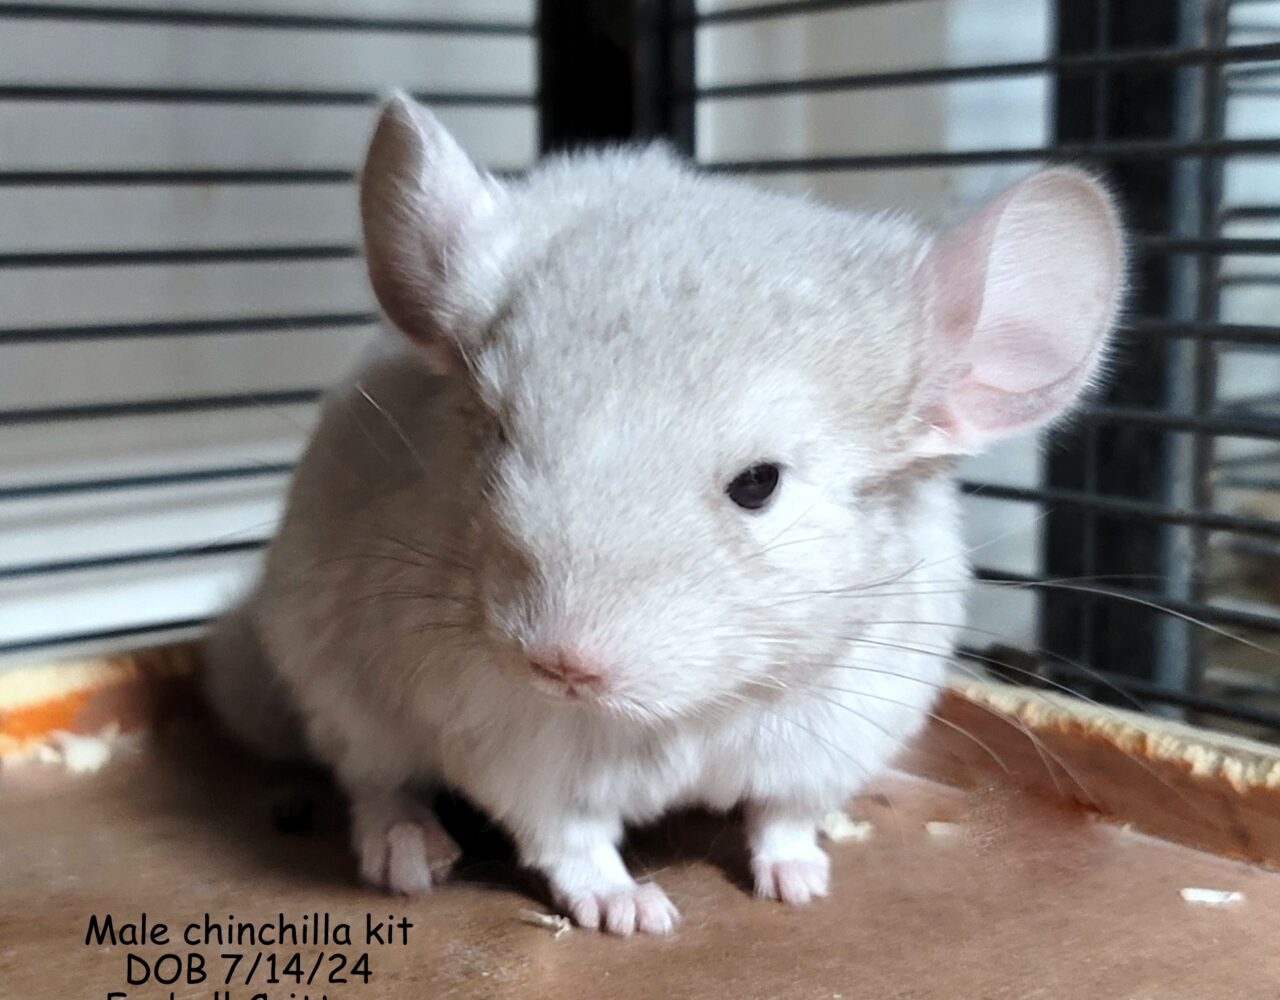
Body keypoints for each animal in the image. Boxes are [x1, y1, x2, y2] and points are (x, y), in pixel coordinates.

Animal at [202, 93, 1124, 936]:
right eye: (496, 435)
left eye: (758, 484)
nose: (561, 665)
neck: (690, 713)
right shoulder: (518, 751)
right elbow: (569, 841)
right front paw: (631, 912)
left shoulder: (833, 732)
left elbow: (782, 816)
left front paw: (802, 881)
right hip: (334, 683)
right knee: (373, 777)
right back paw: (408, 854)